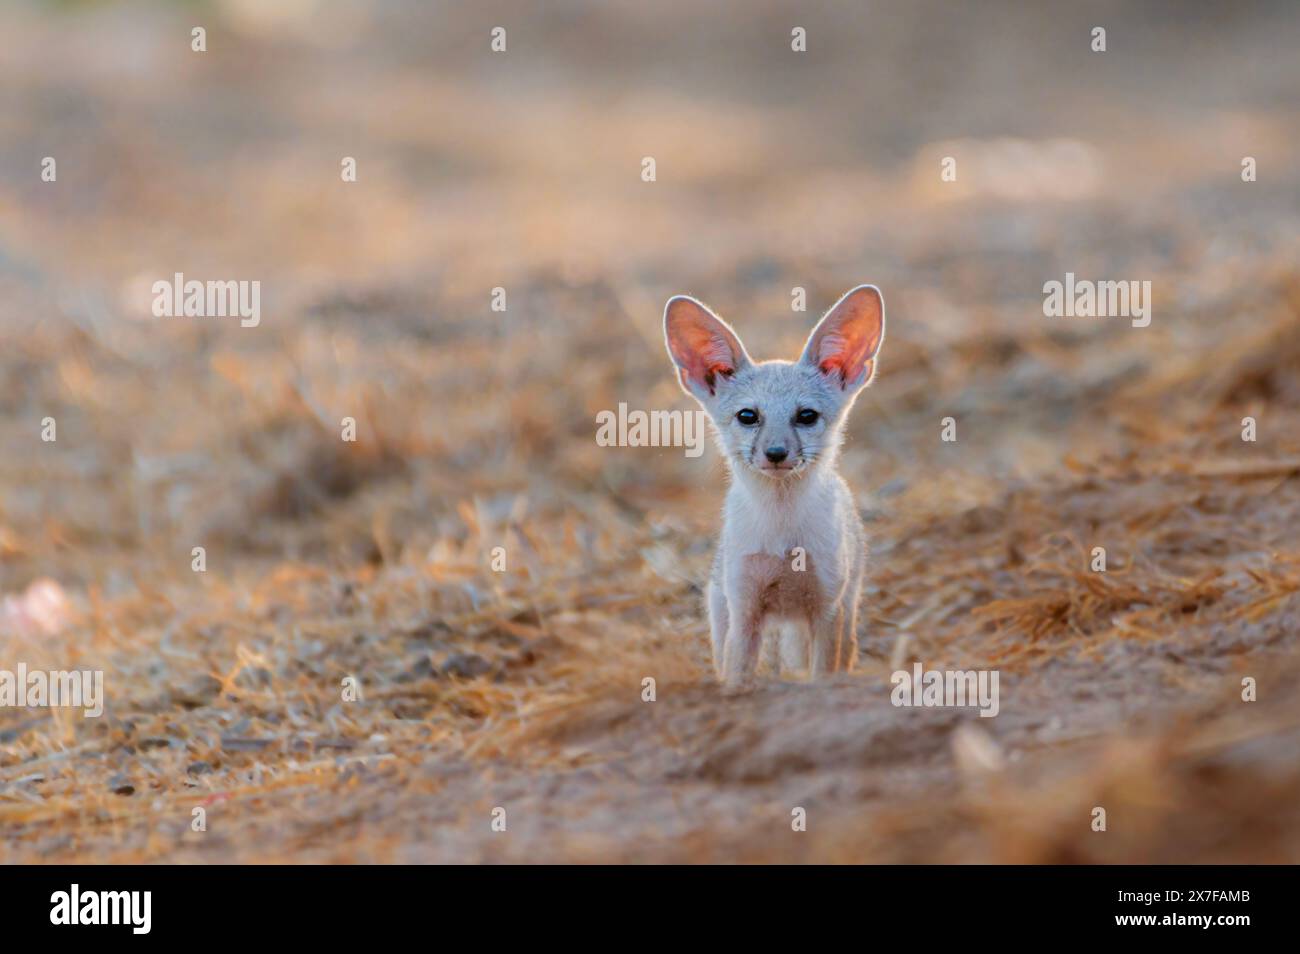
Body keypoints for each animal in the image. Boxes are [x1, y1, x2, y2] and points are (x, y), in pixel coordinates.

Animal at [663, 285, 886, 688]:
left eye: (806, 416)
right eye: (748, 416)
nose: (776, 453)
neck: (783, 538)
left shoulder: (827, 607)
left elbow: (822, 675)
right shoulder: (745, 608)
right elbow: (737, 677)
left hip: (847, 608)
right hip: (722, 613)